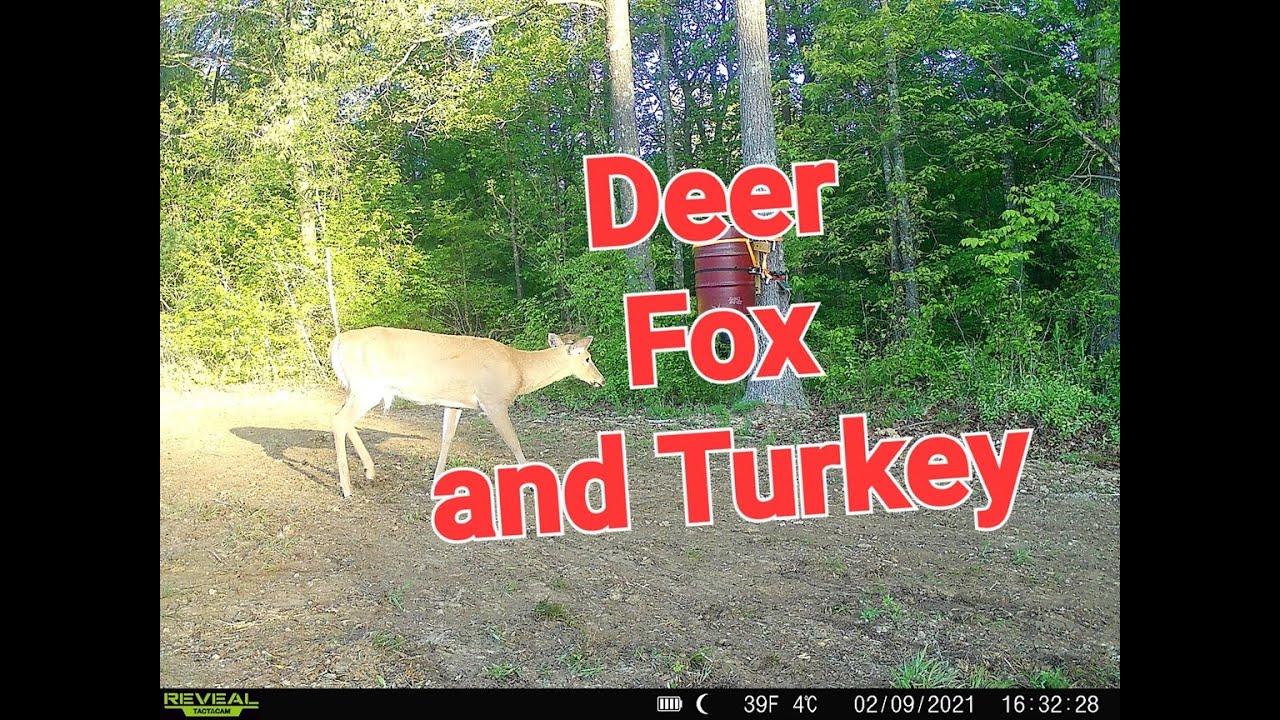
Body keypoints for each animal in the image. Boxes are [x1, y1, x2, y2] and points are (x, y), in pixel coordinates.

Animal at [329, 327, 605, 498]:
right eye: (588, 358)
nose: (601, 380)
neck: (520, 369)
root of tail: (336, 343)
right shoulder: (494, 400)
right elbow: (513, 441)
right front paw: (531, 484)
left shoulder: (455, 403)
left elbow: (446, 438)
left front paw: (437, 480)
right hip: (368, 387)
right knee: (340, 421)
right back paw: (347, 488)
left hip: (360, 389)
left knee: (341, 417)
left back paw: (370, 471)